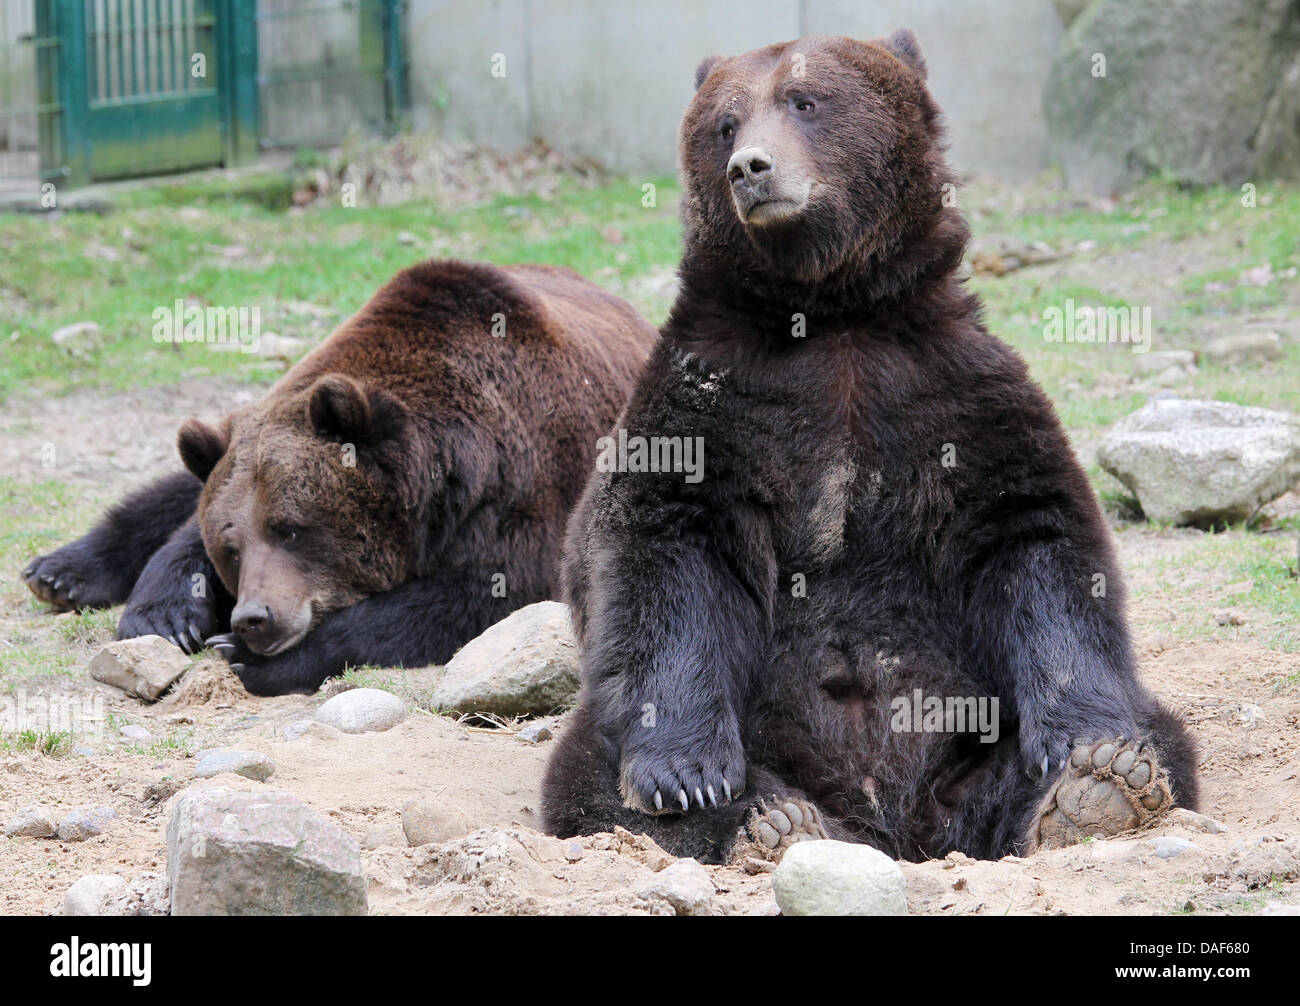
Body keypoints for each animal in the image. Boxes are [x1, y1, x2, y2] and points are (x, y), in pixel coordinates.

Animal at [23, 260, 657, 696]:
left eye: (291, 529)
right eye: (231, 547)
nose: (252, 618)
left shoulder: (521, 489)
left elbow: (475, 593)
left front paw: (253, 658)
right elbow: (182, 528)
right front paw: (165, 614)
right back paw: (59, 571)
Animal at [541, 31, 1198, 864]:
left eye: (805, 101)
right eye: (724, 123)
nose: (750, 167)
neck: (834, 313)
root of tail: (896, 826)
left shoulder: (950, 393)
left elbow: (1034, 538)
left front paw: (1088, 743)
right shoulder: (712, 401)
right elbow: (673, 554)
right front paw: (686, 774)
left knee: (1162, 734)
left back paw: (1099, 792)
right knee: (588, 772)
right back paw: (774, 823)